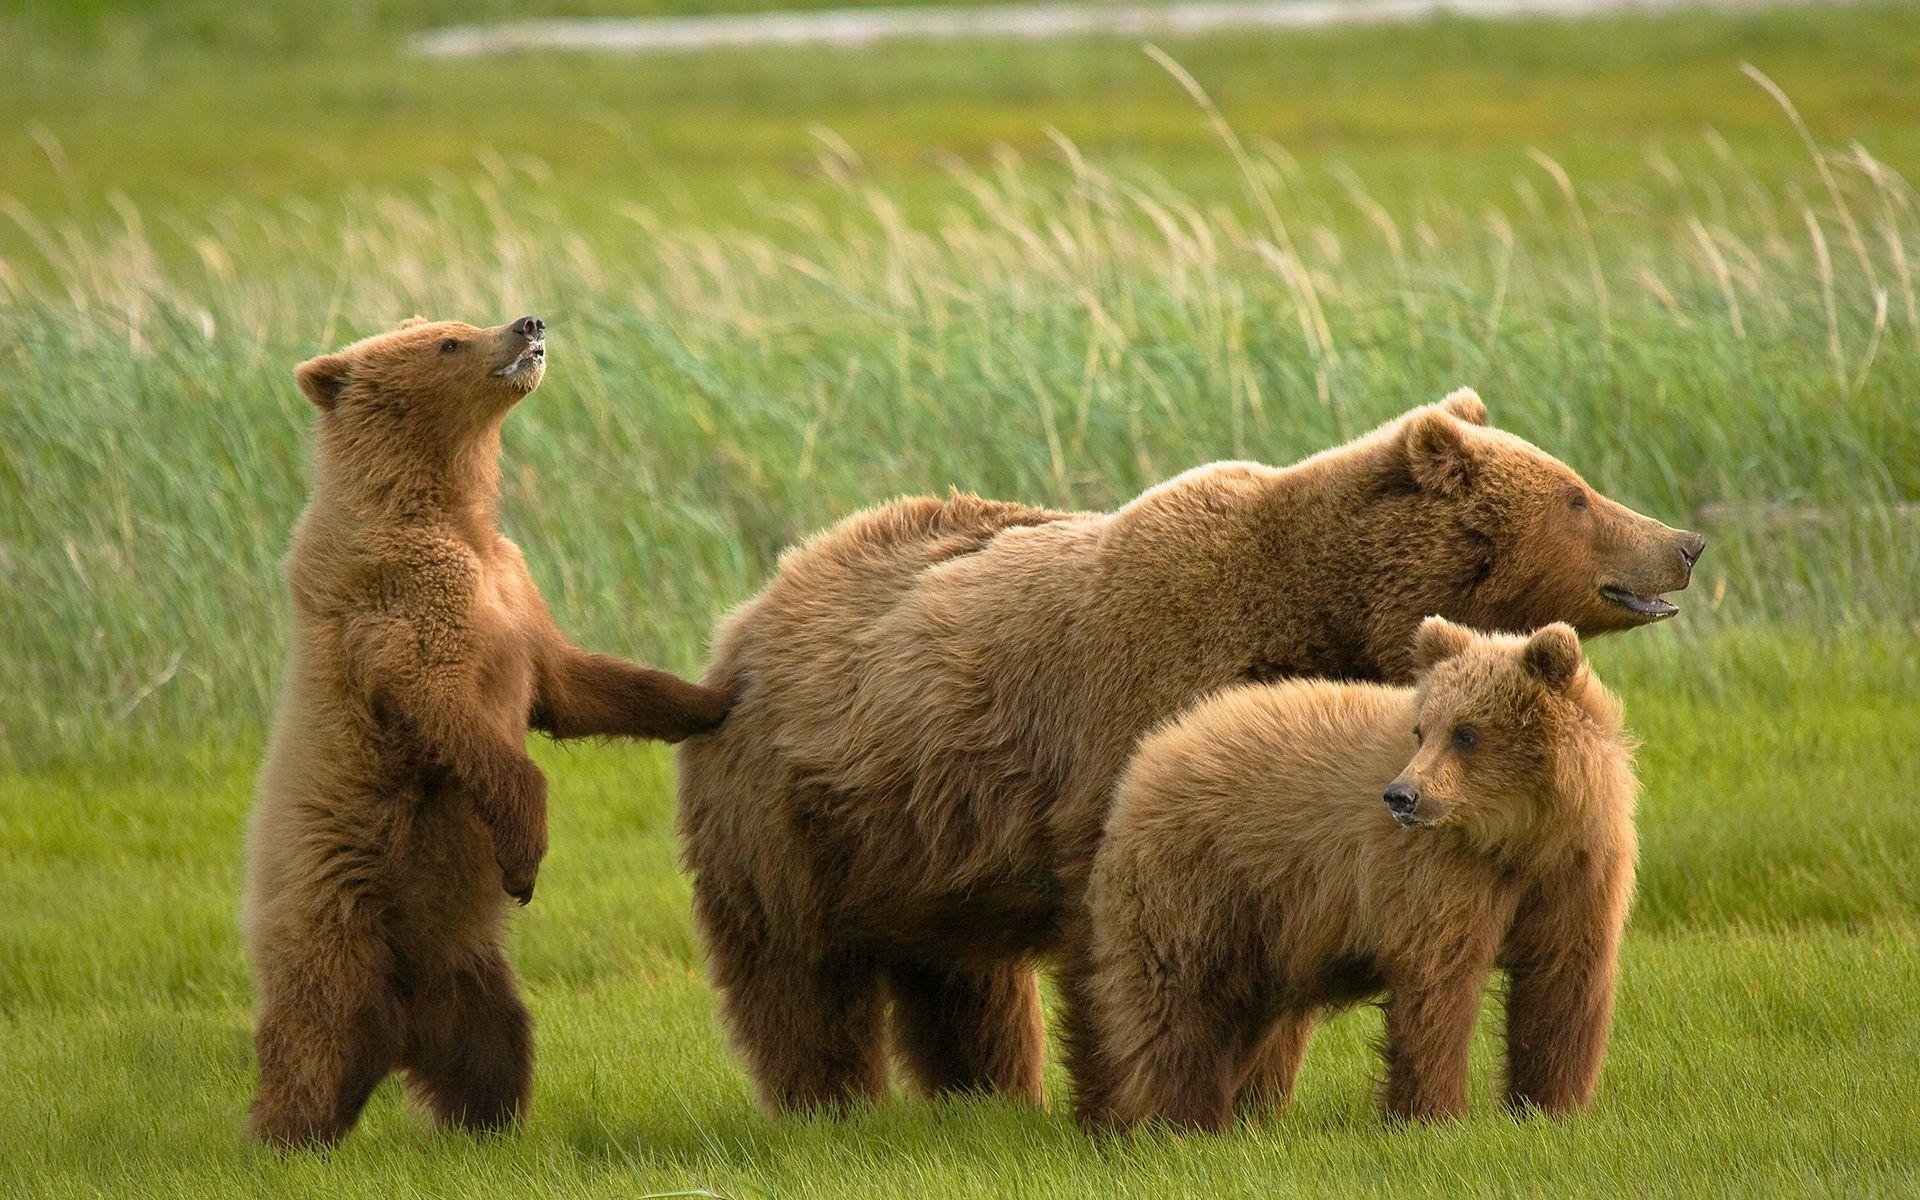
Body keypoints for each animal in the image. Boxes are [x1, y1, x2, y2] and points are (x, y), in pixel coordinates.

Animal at [245, 315, 731, 1148]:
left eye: (460, 322)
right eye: (448, 342)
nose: (527, 322)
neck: (448, 510)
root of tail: (395, 1035)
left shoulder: (514, 589)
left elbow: (575, 685)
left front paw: (715, 697)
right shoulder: (405, 604)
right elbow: (454, 713)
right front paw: (526, 857)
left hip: (465, 968)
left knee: (495, 1041)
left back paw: (487, 1126)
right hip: (337, 920)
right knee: (312, 1037)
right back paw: (283, 1137)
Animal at [1075, 617, 1638, 1132]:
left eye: (1466, 733)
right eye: (1422, 729)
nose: (1401, 795)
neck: (1520, 836)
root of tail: (1152, 751)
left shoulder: (1578, 868)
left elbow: (1562, 981)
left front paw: (1551, 1108)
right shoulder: (1439, 873)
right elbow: (1439, 983)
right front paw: (1435, 1115)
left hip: (1268, 927)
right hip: (1198, 883)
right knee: (1179, 1002)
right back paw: (1183, 1119)